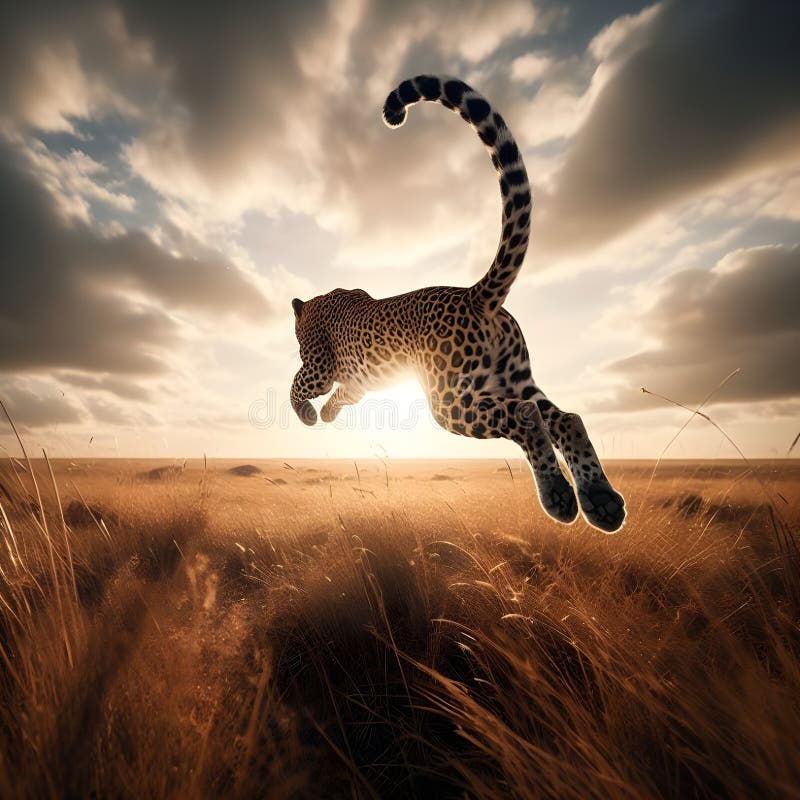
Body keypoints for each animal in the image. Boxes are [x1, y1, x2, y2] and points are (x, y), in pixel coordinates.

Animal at [290, 75, 626, 532]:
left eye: (299, 340)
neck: (319, 301)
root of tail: (474, 294)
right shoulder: (357, 382)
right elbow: (345, 394)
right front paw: (326, 415)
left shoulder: (319, 364)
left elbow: (297, 384)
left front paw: (309, 414)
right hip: (511, 377)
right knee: (564, 418)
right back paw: (600, 501)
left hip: (449, 398)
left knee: (525, 416)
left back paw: (559, 497)